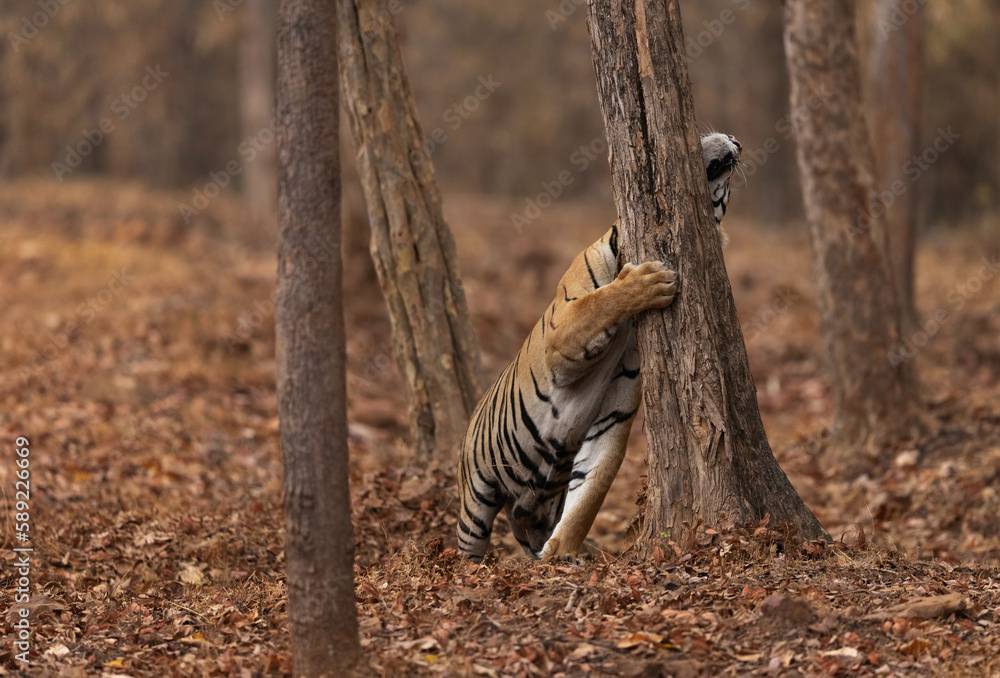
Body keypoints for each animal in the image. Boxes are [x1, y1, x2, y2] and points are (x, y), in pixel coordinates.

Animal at [457, 132, 742, 561]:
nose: (736, 142)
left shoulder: (612, 414)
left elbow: (592, 488)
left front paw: (562, 553)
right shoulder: (562, 337)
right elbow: (600, 302)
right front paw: (649, 281)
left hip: (537, 501)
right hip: (477, 494)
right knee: (469, 541)